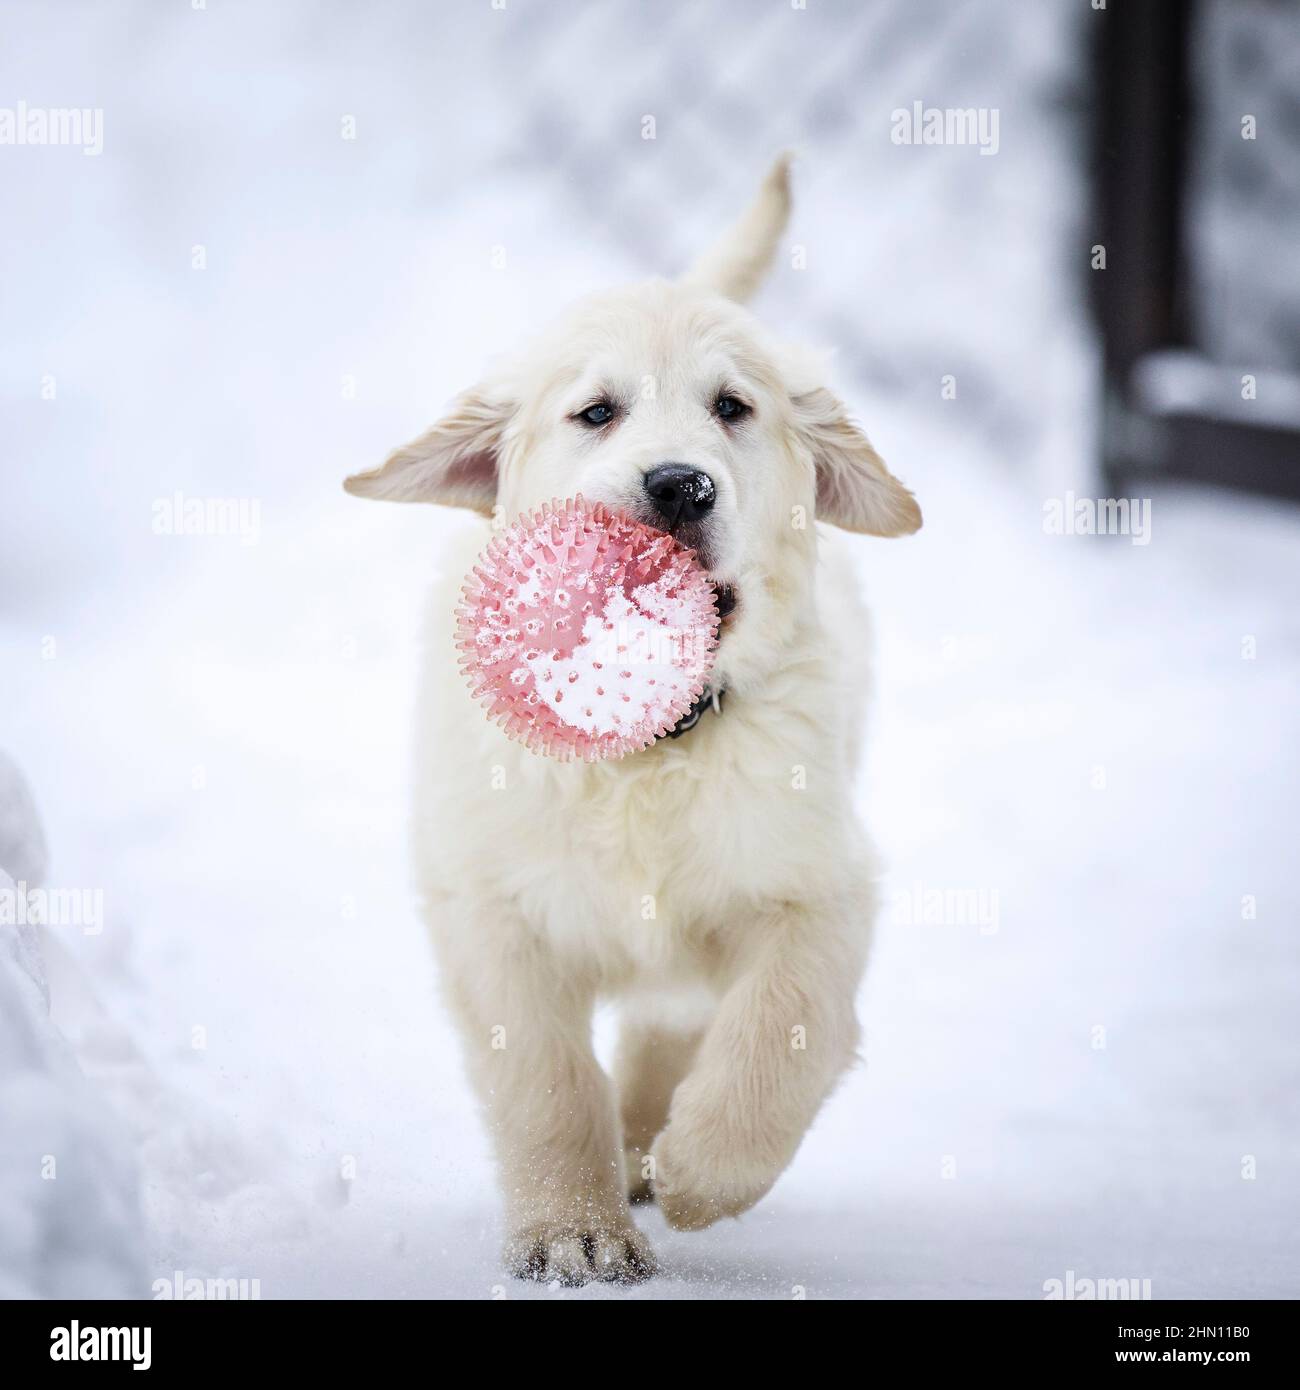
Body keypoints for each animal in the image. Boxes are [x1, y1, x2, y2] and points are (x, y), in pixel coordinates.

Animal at [340, 157, 917, 1284]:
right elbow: (547, 1083)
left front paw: (701, 1168)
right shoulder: (492, 912)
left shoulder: (820, 885)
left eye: (732, 407)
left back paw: (653, 1143)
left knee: (675, 1016)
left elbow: (781, 1029)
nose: (679, 484)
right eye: (596, 412)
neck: (640, 748)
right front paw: (572, 1228)